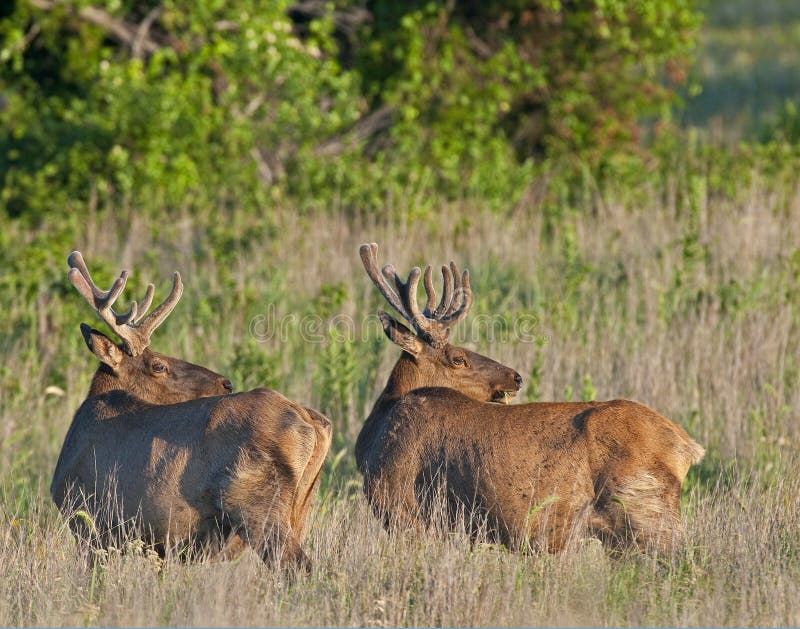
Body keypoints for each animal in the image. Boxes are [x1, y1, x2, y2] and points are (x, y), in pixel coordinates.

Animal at [51, 251, 332, 568]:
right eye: (159, 365)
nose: (226, 382)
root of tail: (312, 423)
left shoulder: (89, 524)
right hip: (300, 508)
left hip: (258, 504)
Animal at [356, 243, 700, 552]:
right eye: (458, 358)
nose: (516, 376)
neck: (374, 436)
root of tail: (687, 446)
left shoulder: (407, 511)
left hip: (644, 510)